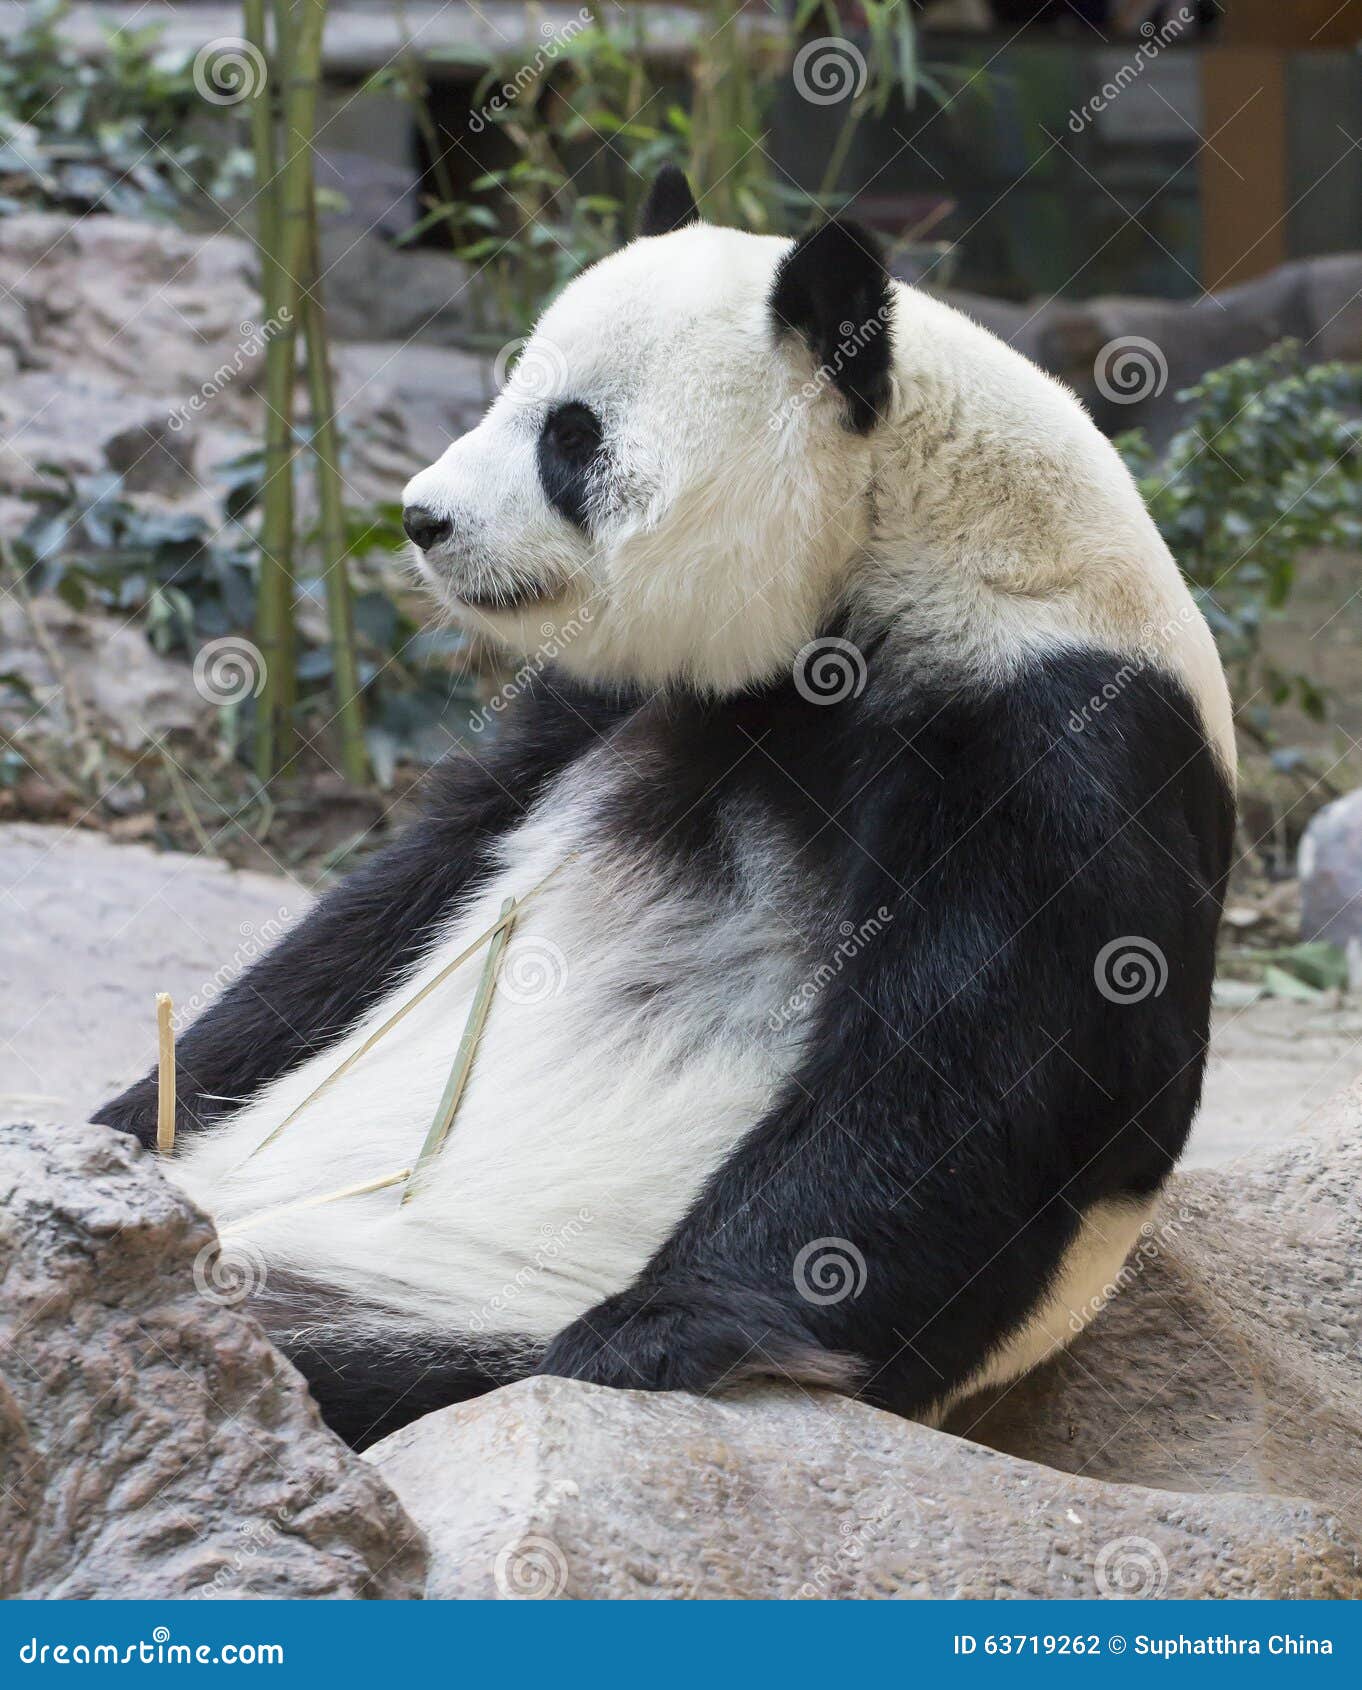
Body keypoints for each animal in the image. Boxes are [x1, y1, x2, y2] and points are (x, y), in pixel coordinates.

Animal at [97, 167, 1235, 1451]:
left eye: (571, 434)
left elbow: (979, 1078)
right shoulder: (623, 699)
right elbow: (384, 908)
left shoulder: (1058, 733)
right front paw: (132, 1115)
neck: (901, 529)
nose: (424, 518)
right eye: (508, 392)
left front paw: (645, 1331)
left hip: (441, 1294)